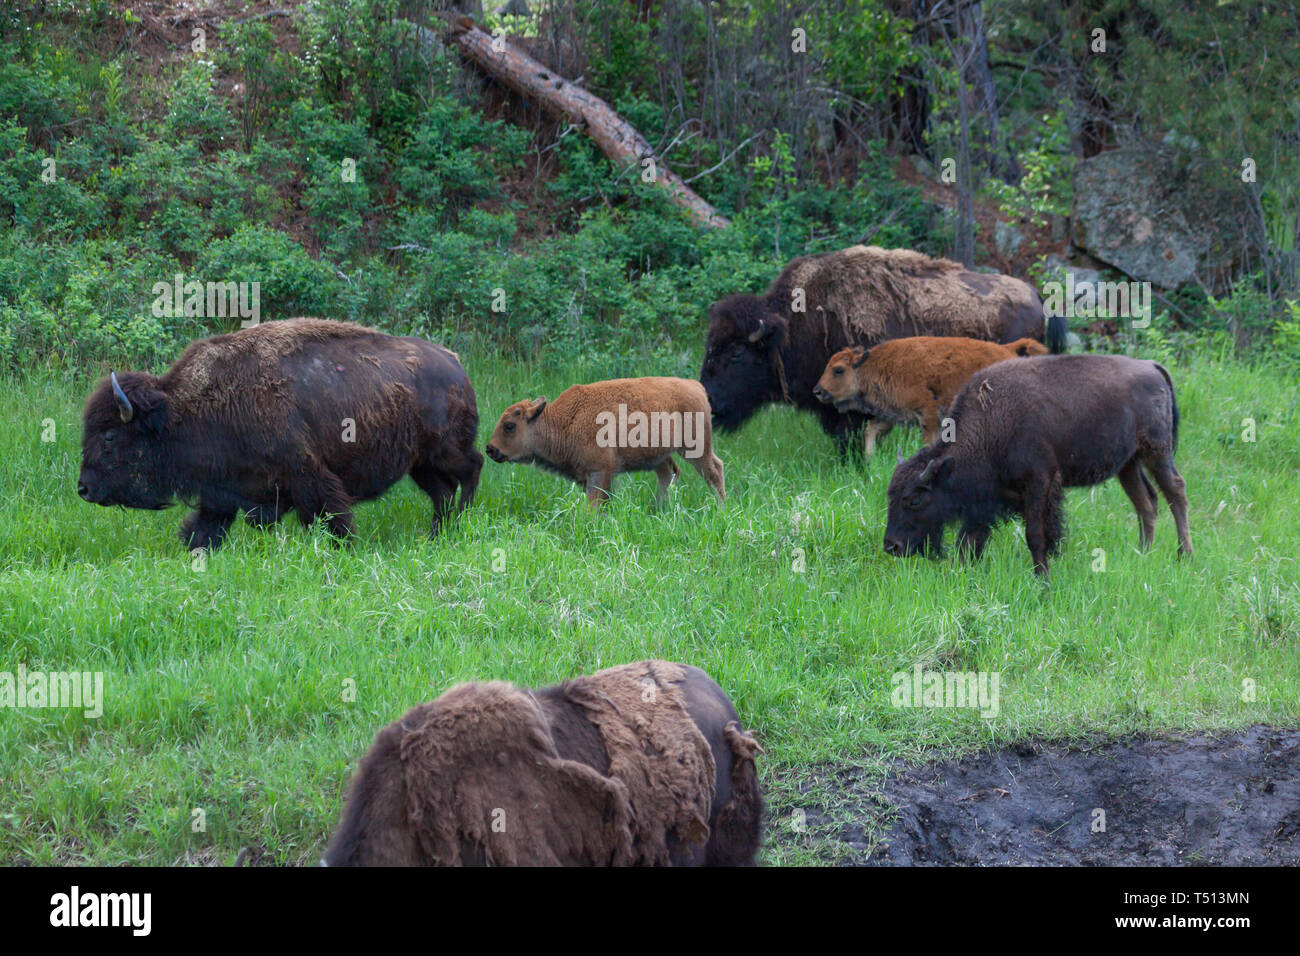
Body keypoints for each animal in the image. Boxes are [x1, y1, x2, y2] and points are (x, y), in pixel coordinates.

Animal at [79, 318, 481, 550]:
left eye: (110, 437)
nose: (83, 488)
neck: (181, 410)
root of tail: (456, 365)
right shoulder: (221, 491)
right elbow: (204, 529)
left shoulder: (308, 476)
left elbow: (332, 519)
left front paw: (345, 548)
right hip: (420, 464)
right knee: (443, 493)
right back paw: (437, 536)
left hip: (444, 451)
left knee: (471, 468)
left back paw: (461, 523)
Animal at [884, 354, 1192, 577]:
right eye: (890, 497)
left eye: (914, 500)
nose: (891, 545)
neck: (990, 425)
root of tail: (1151, 367)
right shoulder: (986, 499)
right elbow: (968, 540)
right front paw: (962, 575)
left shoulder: (1038, 483)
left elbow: (1035, 535)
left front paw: (1042, 578)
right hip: (1128, 465)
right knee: (1146, 502)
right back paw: (1143, 553)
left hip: (1156, 452)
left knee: (1176, 492)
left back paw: (1184, 556)